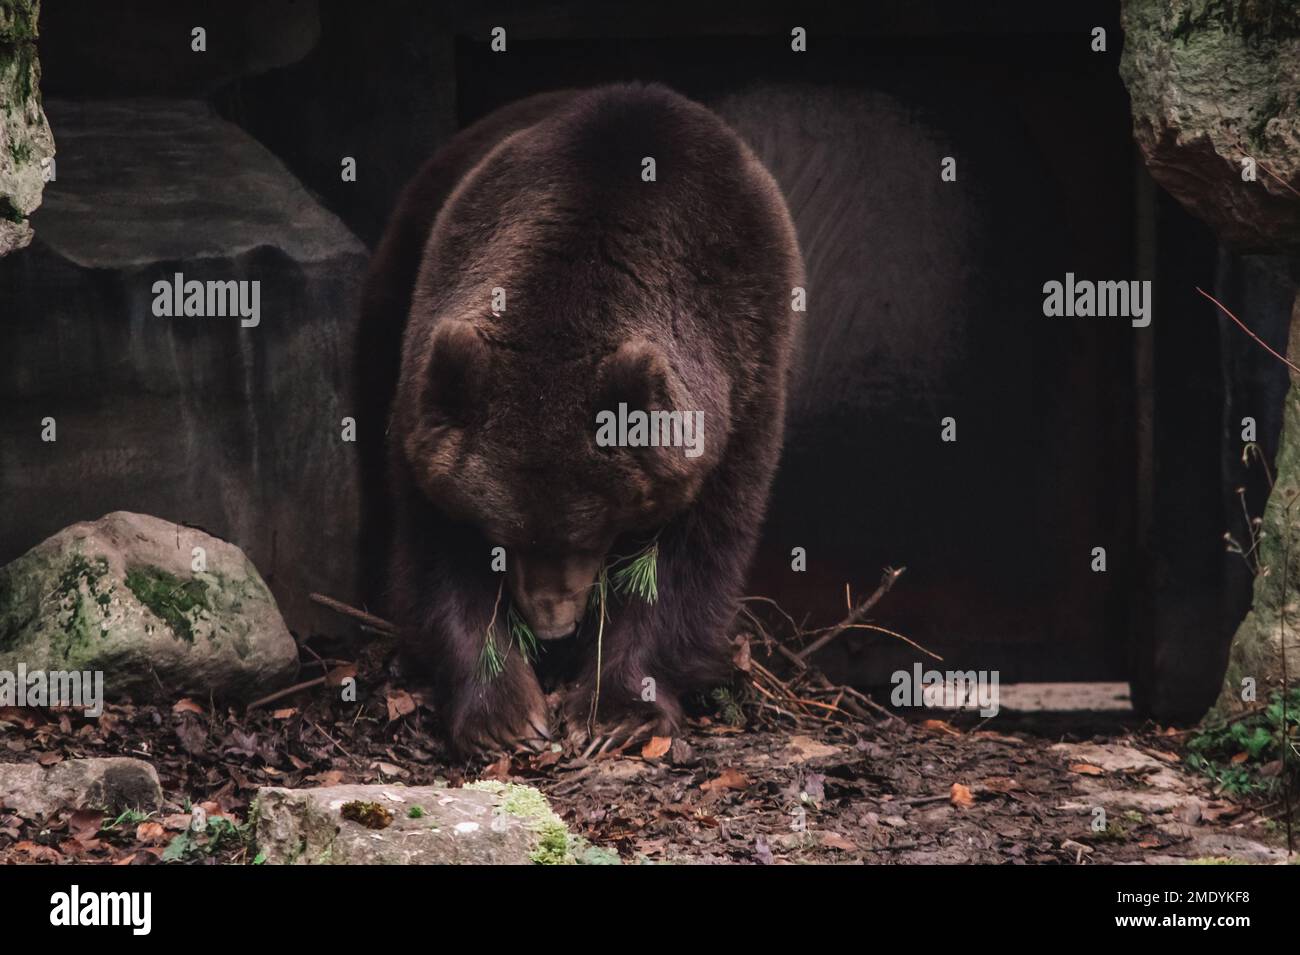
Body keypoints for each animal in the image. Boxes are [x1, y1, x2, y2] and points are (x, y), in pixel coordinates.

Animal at [357, 83, 803, 758]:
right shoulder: (432, 380)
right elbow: (435, 549)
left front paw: (614, 712)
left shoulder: (743, 364)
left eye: (595, 531)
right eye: (500, 535)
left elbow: (693, 557)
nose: (553, 624)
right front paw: (508, 714)